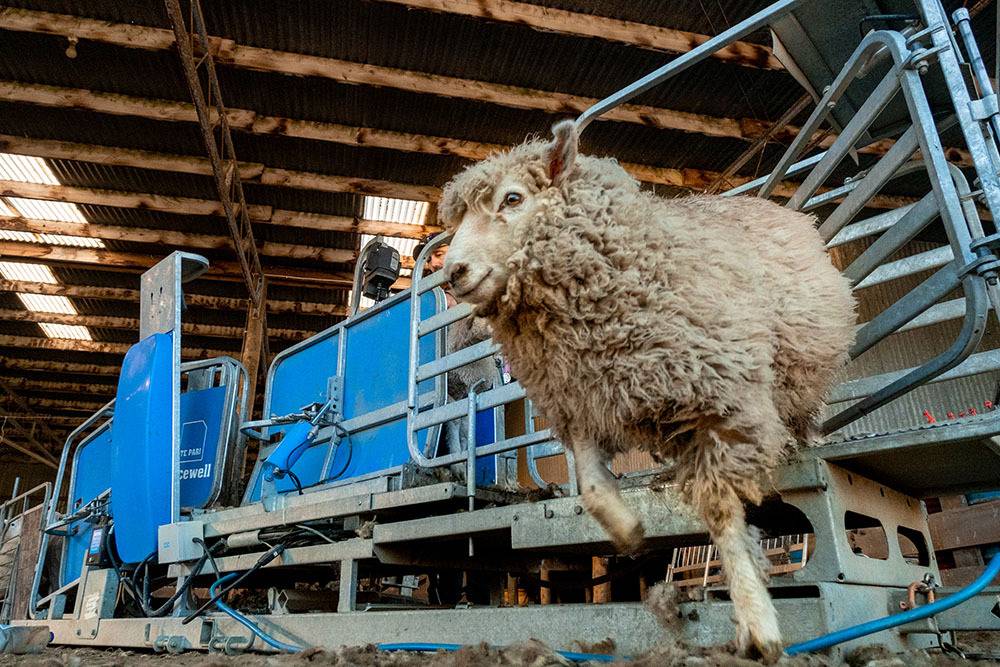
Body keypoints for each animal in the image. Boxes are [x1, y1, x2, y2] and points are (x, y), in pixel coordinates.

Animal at [438, 120, 856, 661]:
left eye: (513, 198)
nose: (452, 273)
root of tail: (789, 212)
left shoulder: (721, 399)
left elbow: (720, 511)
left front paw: (757, 622)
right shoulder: (585, 404)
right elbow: (593, 490)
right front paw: (629, 531)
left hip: (801, 375)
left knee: (802, 422)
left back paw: (803, 446)